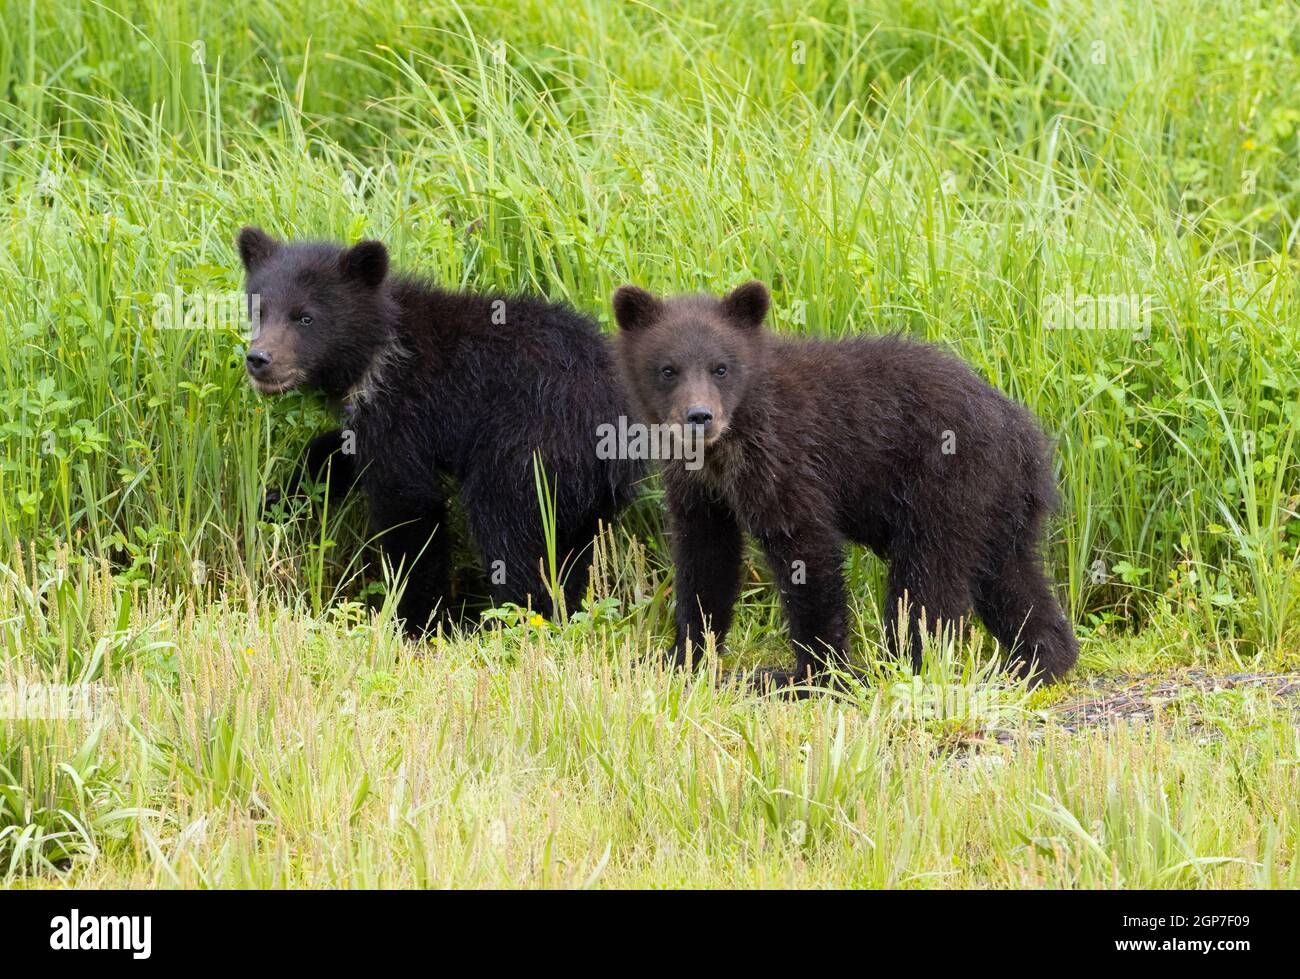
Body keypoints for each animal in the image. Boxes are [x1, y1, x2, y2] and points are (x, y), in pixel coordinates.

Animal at [238, 226, 640, 633]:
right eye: (259, 310)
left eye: (305, 317)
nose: (259, 359)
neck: (378, 353)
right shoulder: (374, 420)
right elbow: (339, 452)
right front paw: (278, 496)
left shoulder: (406, 408)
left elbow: (409, 508)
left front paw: (413, 617)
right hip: (589, 492)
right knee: (571, 549)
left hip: (527, 447)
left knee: (512, 534)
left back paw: (509, 622)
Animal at [612, 280, 1077, 689]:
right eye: (667, 369)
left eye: (721, 368)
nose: (699, 416)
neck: (727, 446)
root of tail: (1026, 436)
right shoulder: (702, 491)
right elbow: (705, 560)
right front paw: (679, 655)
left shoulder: (787, 459)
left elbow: (807, 552)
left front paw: (809, 673)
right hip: (997, 506)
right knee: (1011, 578)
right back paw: (1035, 662)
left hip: (948, 486)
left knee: (927, 581)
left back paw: (903, 665)